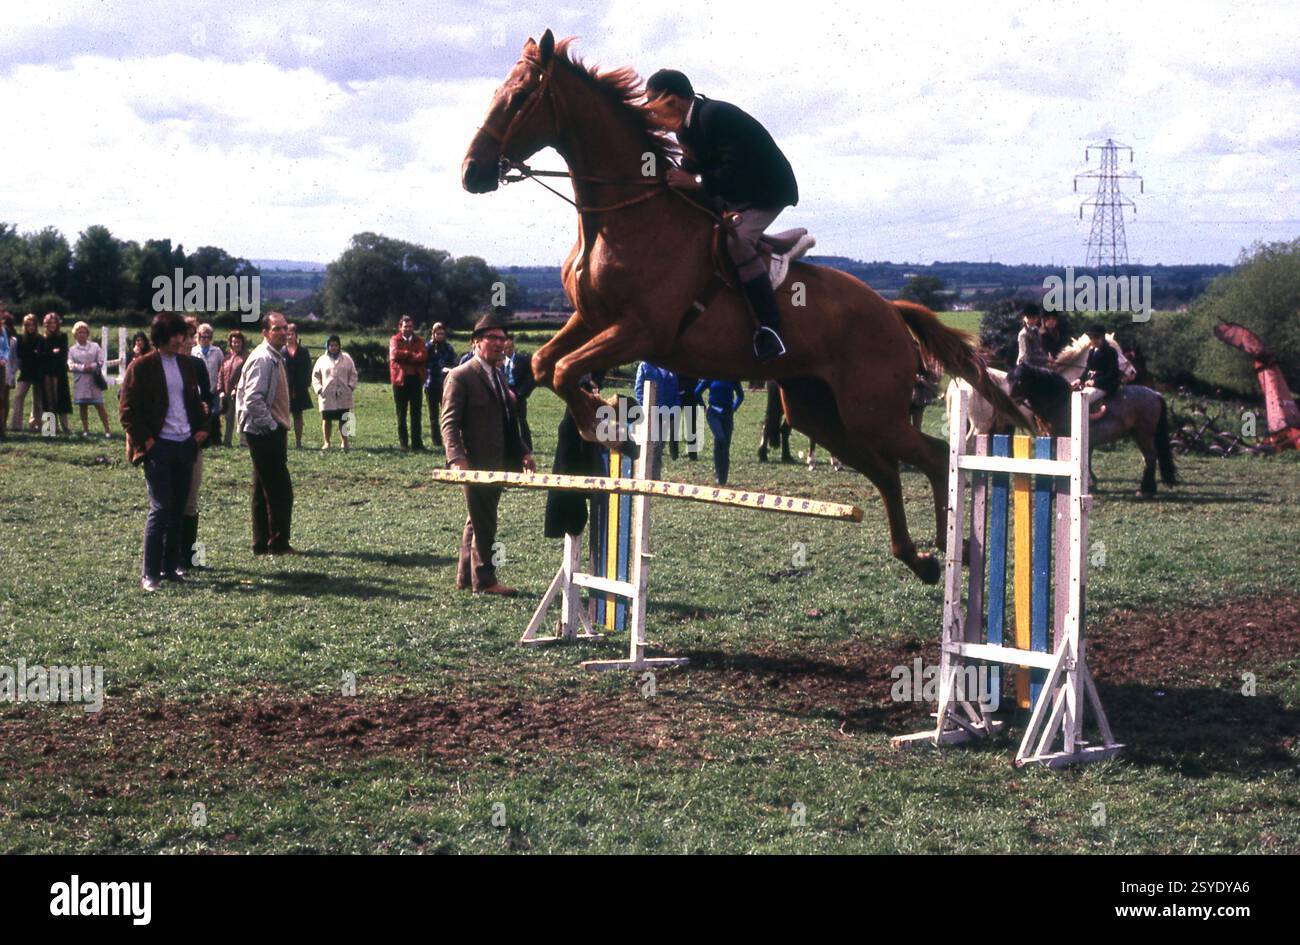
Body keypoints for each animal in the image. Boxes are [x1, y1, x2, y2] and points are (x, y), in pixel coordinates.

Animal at [461, 31, 1023, 583]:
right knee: (886, 470)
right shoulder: (591, 319)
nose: (471, 174)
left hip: (871, 410)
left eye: (518, 98)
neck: (625, 217)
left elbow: (563, 370)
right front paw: (600, 423)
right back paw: (919, 559)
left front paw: (612, 432)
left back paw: (952, 551)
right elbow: (544, 362)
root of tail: (890, 308)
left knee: (933, 455)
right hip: (819, 412)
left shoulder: (640, 331)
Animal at [1007, 363, 1177, 497]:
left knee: (1150, 456)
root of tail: (1155, 394)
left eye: (1020, 380)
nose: (1011, 402)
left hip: (1144, 434)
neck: (1059, 402)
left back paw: (1145, 490)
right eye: (1009, 380)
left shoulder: (1058, 438)